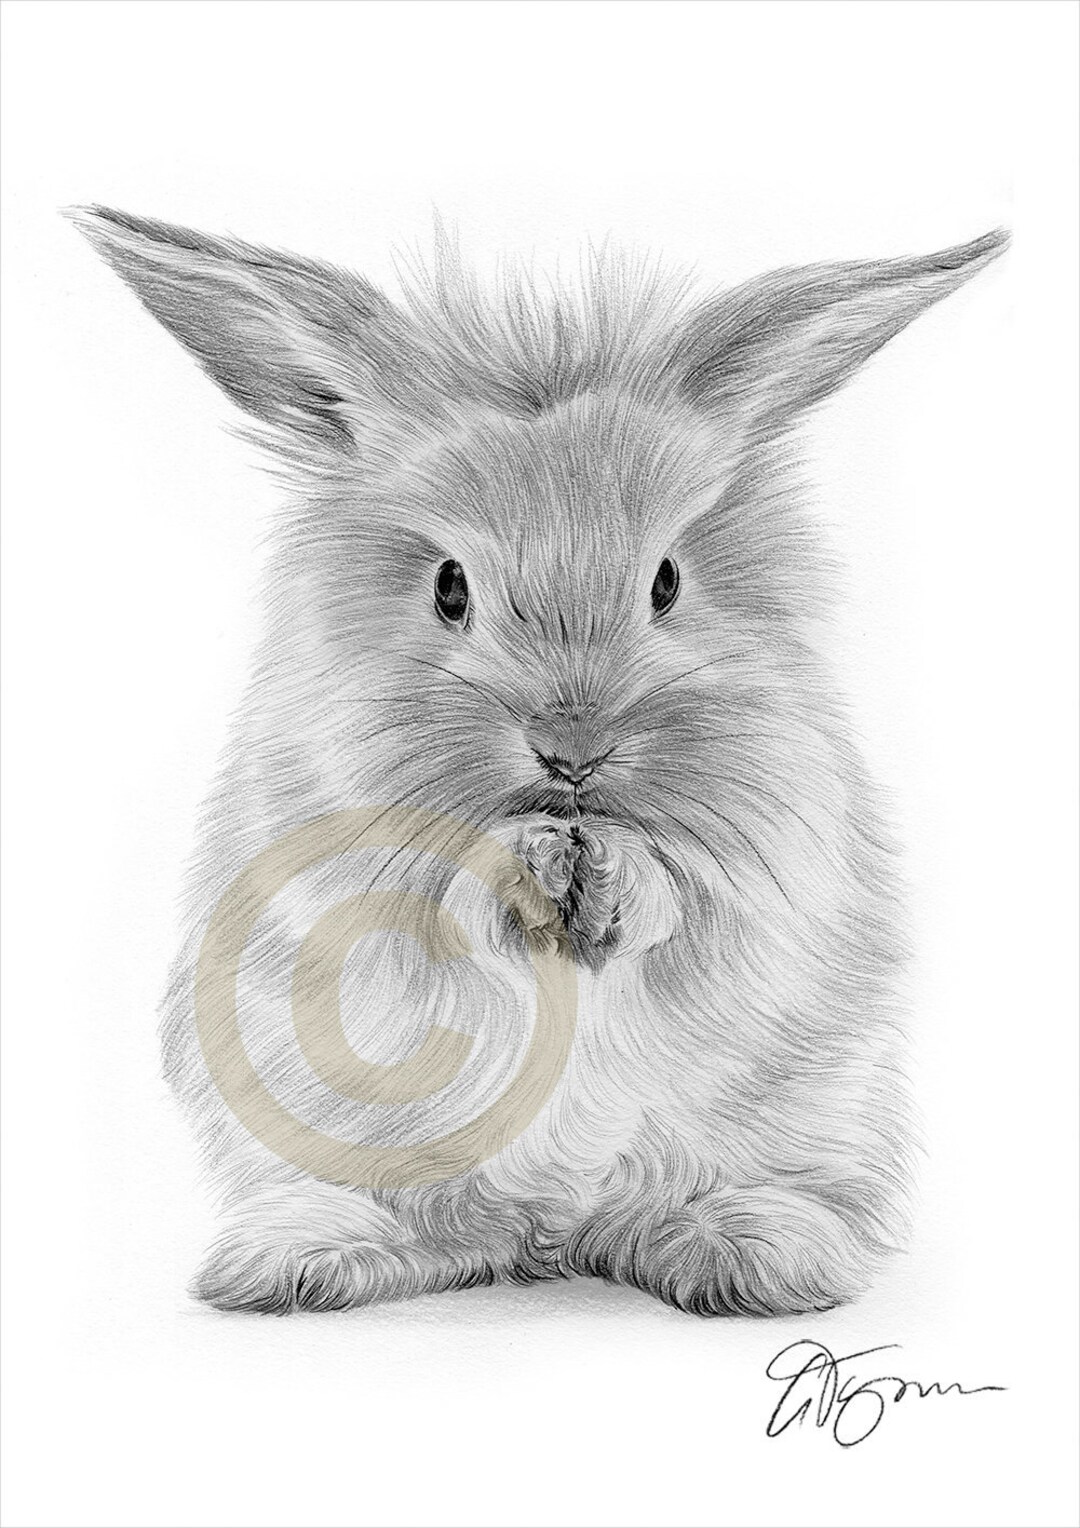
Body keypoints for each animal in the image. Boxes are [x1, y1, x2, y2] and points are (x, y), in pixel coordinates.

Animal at [71, 206, 1007, 1316]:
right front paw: (534, 859)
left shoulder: (775, 849)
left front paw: (602, 872)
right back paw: (299, 1259)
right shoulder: (338, 852)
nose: (574, 747)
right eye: (449, 587)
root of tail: (553, 1235)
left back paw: (749, 1252)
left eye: (666, 581)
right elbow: (444, 899)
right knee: (431, 1231)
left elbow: (680, 894)